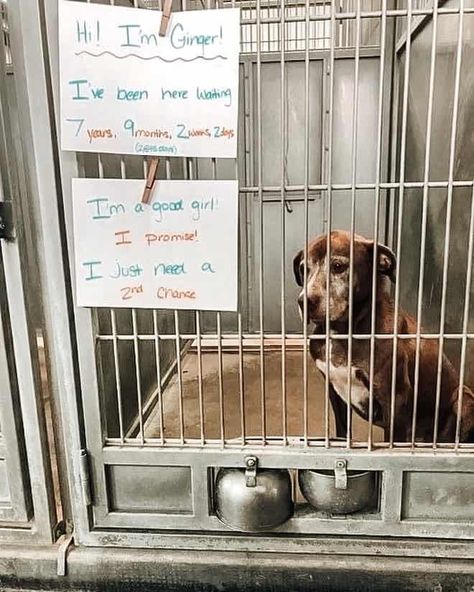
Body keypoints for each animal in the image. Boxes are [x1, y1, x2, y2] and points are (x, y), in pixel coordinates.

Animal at [292, 231, 474, 444]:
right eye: (303, 269)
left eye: (338, 266)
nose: (304, 301)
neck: (343, 332)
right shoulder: (335, 391)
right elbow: (344, 431)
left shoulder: (395, 399)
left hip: (464, 400)